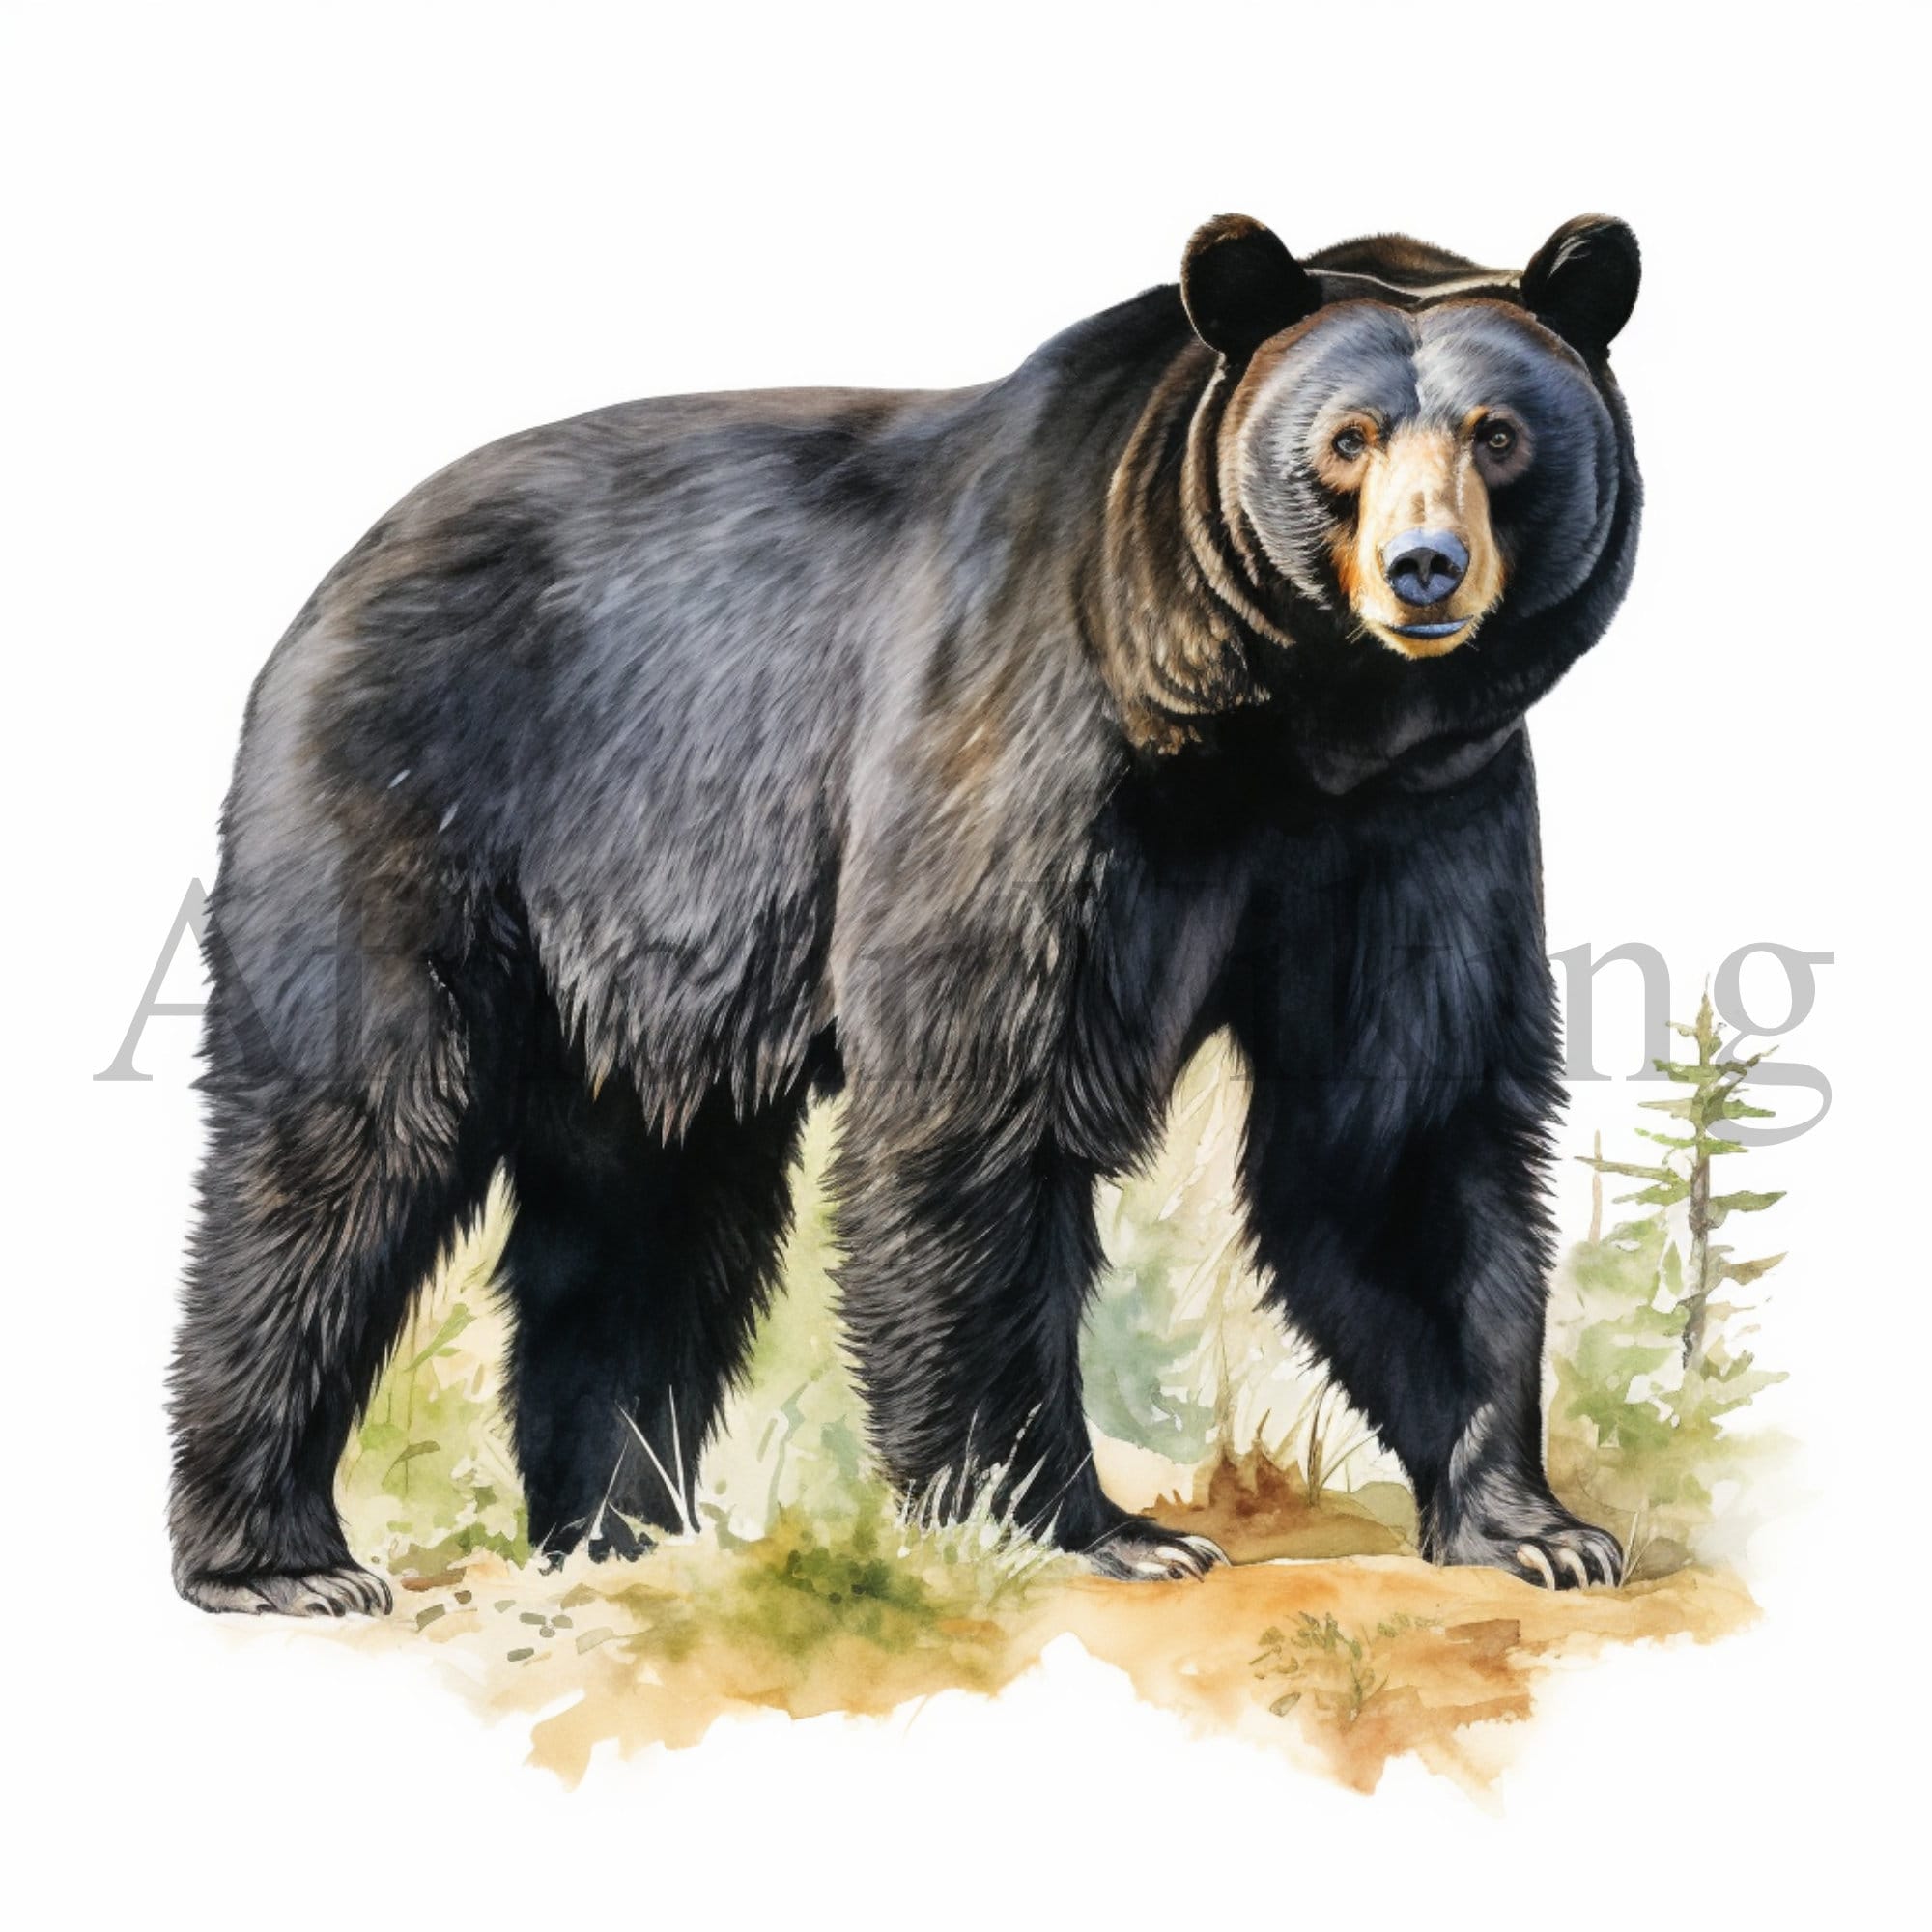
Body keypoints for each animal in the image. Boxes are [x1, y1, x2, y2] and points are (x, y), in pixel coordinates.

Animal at [170, 210, 1640, 1615]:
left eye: (1497, 432)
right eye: (1346, 437)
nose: (1424, 567)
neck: (1283, 725)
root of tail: (343, 570)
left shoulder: (1418, 815)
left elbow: (1394, 1126)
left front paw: (1534, 1526)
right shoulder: (1030, 734)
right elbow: (981, 1098)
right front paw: (1095, 1527)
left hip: (649, 955)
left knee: (650, 1218)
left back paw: (619, 1531)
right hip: (417, 803)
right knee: (348, 1149)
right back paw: (281, 1557)